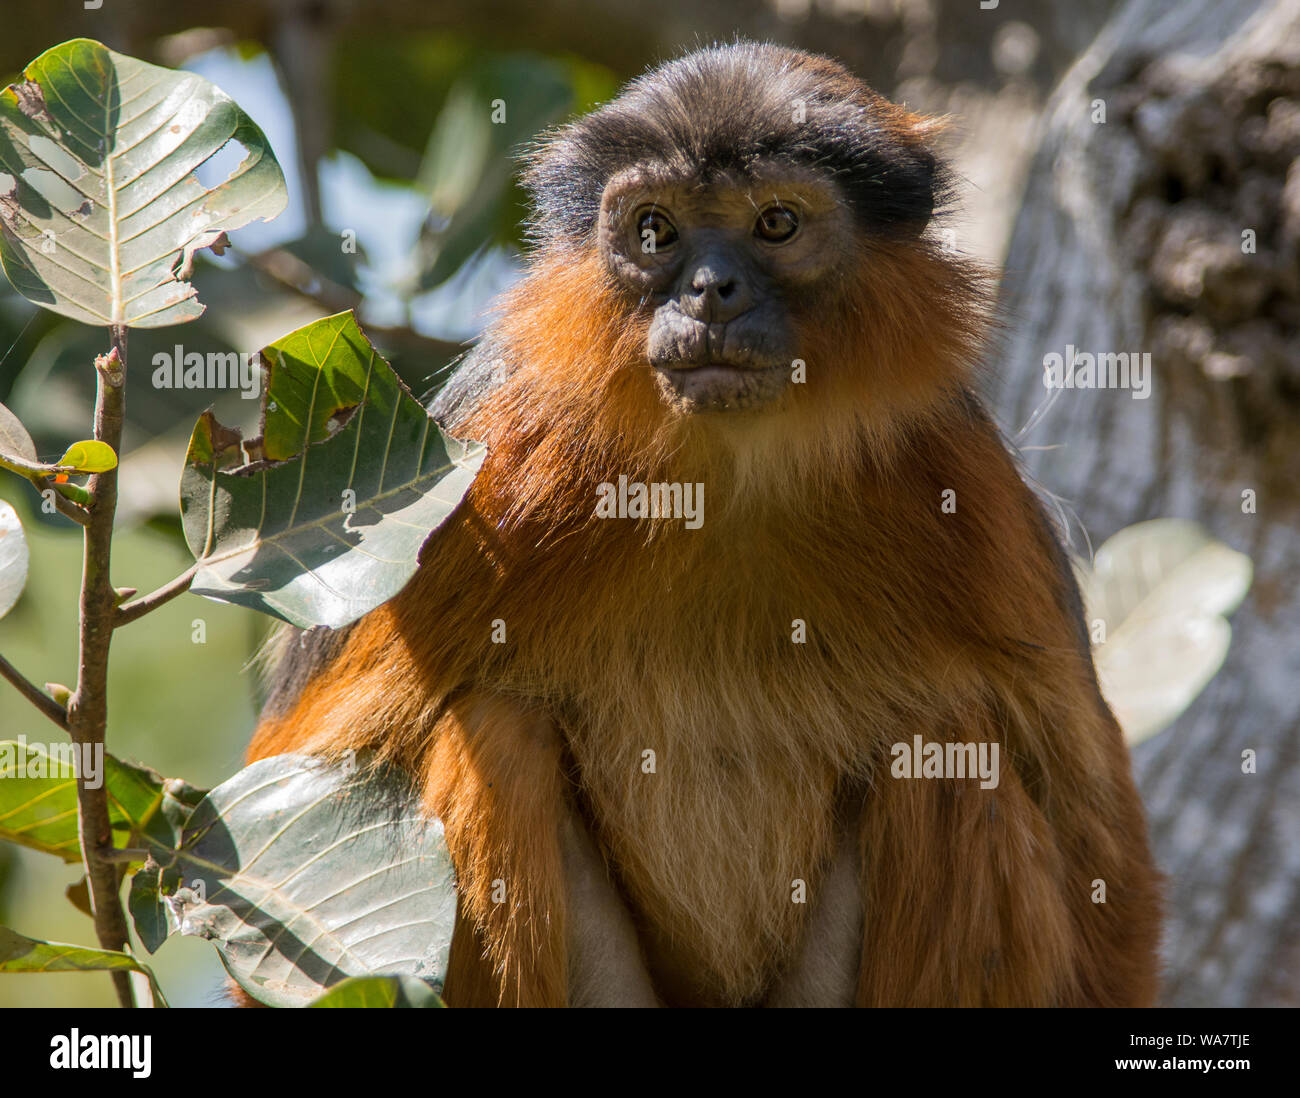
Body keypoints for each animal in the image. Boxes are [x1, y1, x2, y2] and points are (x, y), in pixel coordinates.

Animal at [248, 41, 1162, 1007]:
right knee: (494, 728)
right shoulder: (494, 459)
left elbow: (1101, 852)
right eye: (656, 232)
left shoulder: (965, 479)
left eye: (776, 225)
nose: (709, 291)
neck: (729, 480)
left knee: (947, 746)